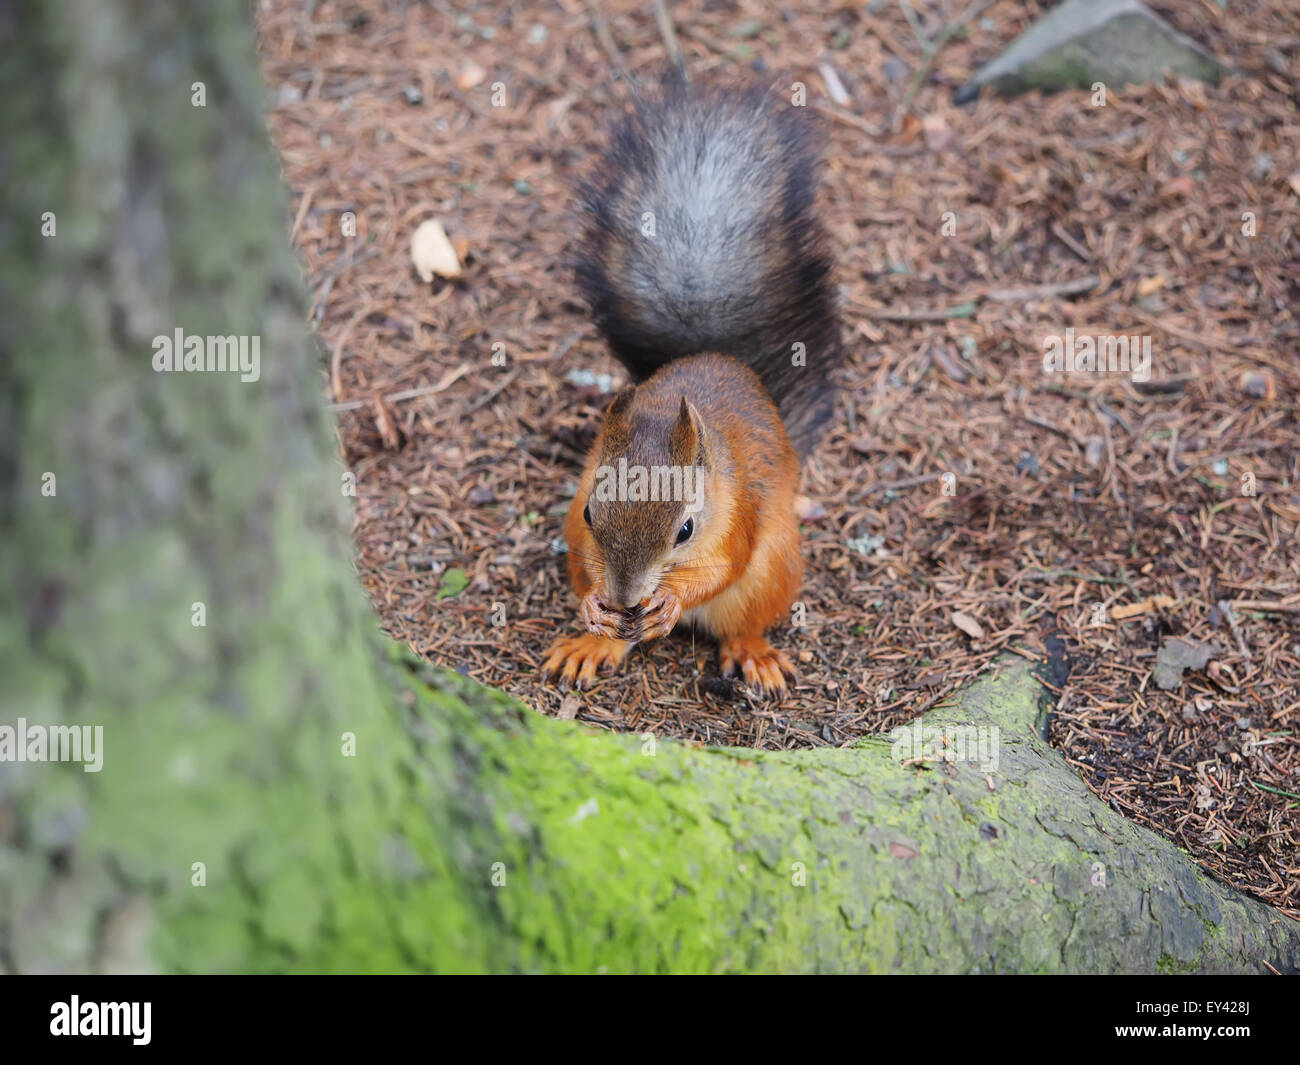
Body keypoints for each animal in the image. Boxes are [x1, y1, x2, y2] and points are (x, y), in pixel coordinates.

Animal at [542, 75, 842, 695]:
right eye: (589, 515)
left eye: (686, 529)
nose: (627, 597)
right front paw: (594, 611)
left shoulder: (737, 519)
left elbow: (722, 566)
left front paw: (672, 599)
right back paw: (594, 643)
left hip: (774, 568)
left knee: (743, 621)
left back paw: (752, 653)